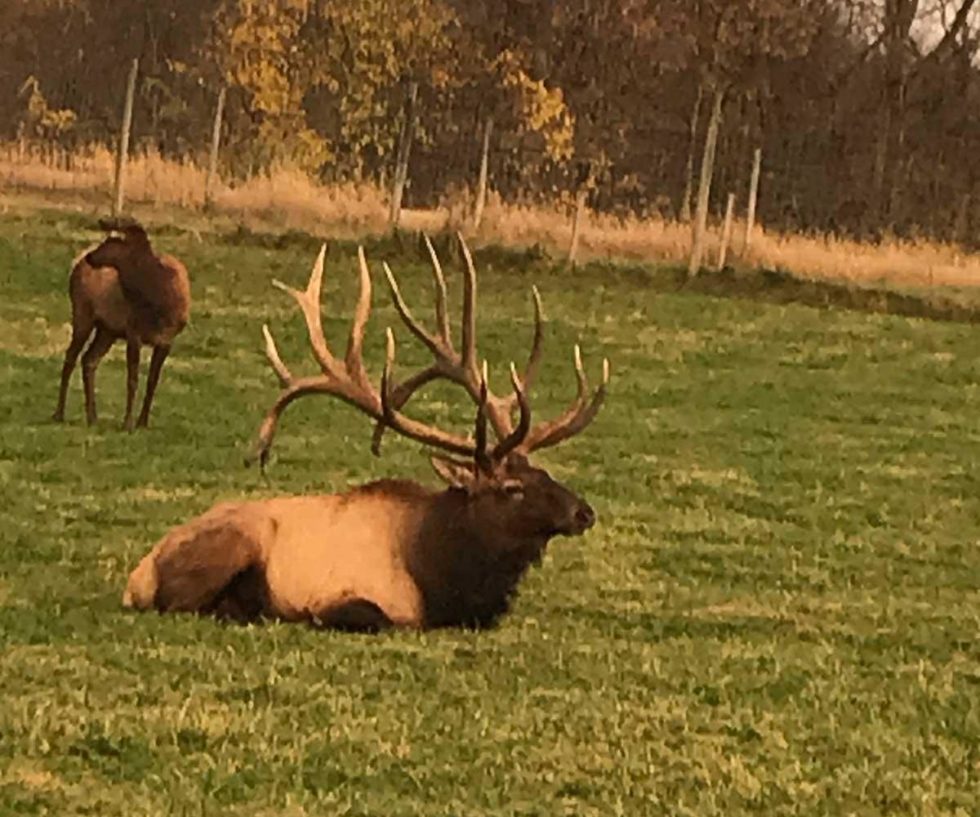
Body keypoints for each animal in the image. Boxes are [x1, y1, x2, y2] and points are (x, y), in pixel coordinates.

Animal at [52, 219, 191, 431]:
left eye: (113, 241)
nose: (90, 257)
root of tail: (75, 265)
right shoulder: (133, 333)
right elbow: (132, 380)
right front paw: (128, 423)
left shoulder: (167, 339)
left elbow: (152, 381)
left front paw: (143, 422)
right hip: (82, 313)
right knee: (71, 357)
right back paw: (59, 414)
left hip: (107, 330)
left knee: (89, 359)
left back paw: (92, 416)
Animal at [122, 237, 609, 632]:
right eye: (511, 487)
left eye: (544, 473)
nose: (584, 512)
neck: (445, 575)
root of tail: (136, 578)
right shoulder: (365, 598)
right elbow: (369, 617)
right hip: (238, 538)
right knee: (181, 603)